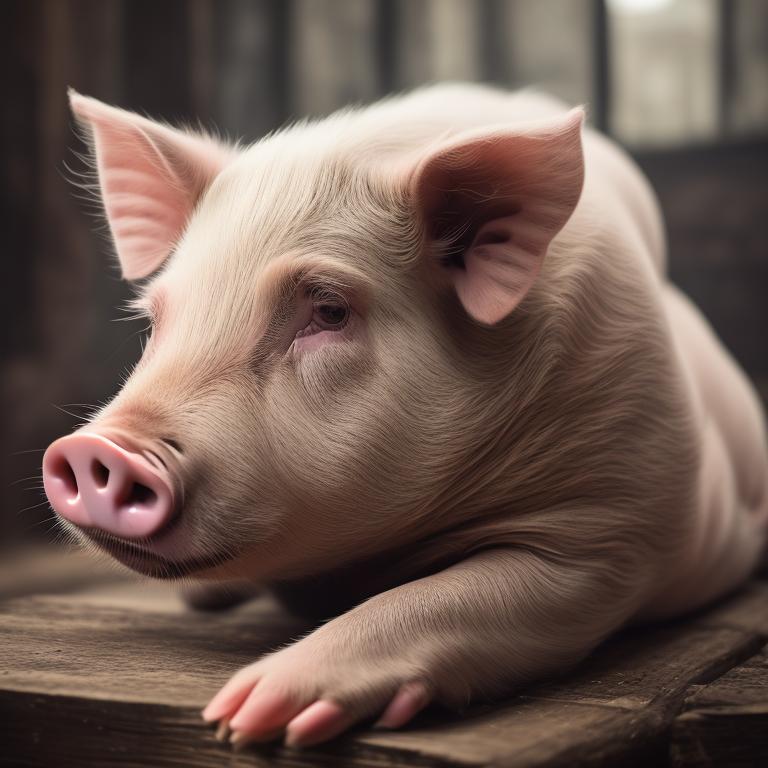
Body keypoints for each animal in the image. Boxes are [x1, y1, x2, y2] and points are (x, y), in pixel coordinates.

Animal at [42, 83, 768, 748]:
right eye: (157, 320)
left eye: (329, 310)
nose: (97, 449)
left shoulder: (617, 521)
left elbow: (454, 597)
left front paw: (247, 718)